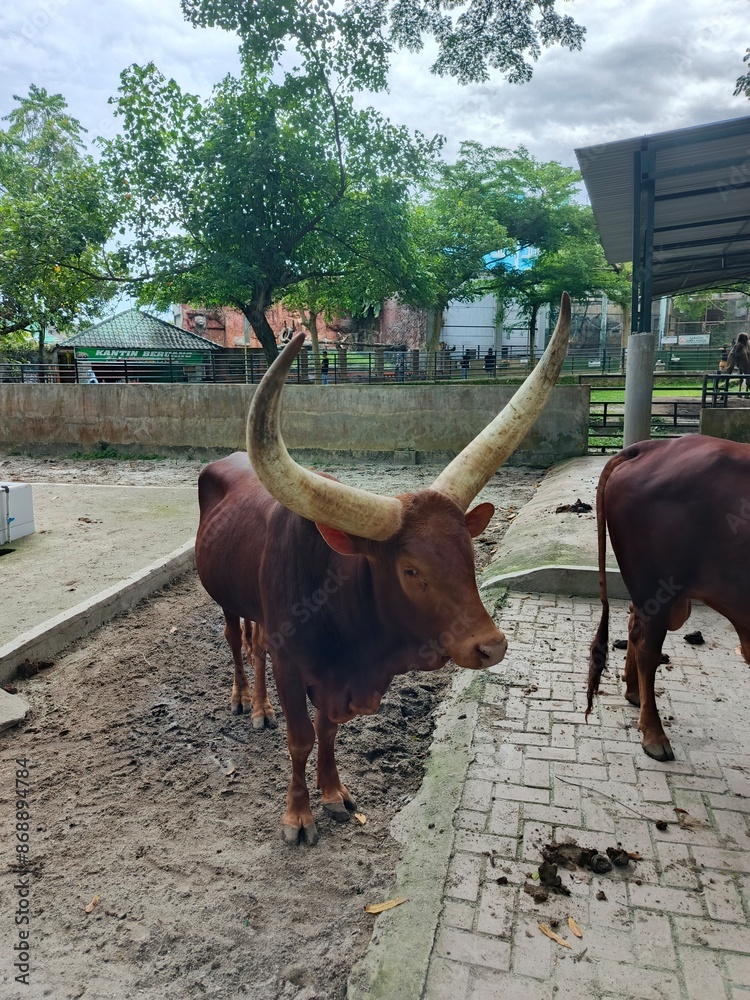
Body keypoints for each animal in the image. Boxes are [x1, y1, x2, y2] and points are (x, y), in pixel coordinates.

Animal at [196, 293, 571, 845]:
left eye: (469, 552)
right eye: (411, 570)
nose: (492, 646)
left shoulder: (334, 679)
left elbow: (327, 732)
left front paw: (334, 795)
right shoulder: (293, 666)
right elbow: (301, 739)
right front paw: (297, 816)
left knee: (254, 641)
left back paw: (260, 707)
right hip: (224, 599)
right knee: (236, 643)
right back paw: (246, 701)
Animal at [587, 434, 750, 762]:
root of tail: (652, 446)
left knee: (635, 625)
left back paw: (634, 693)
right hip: (656, 583)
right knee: (646, 647)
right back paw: (654, 735)